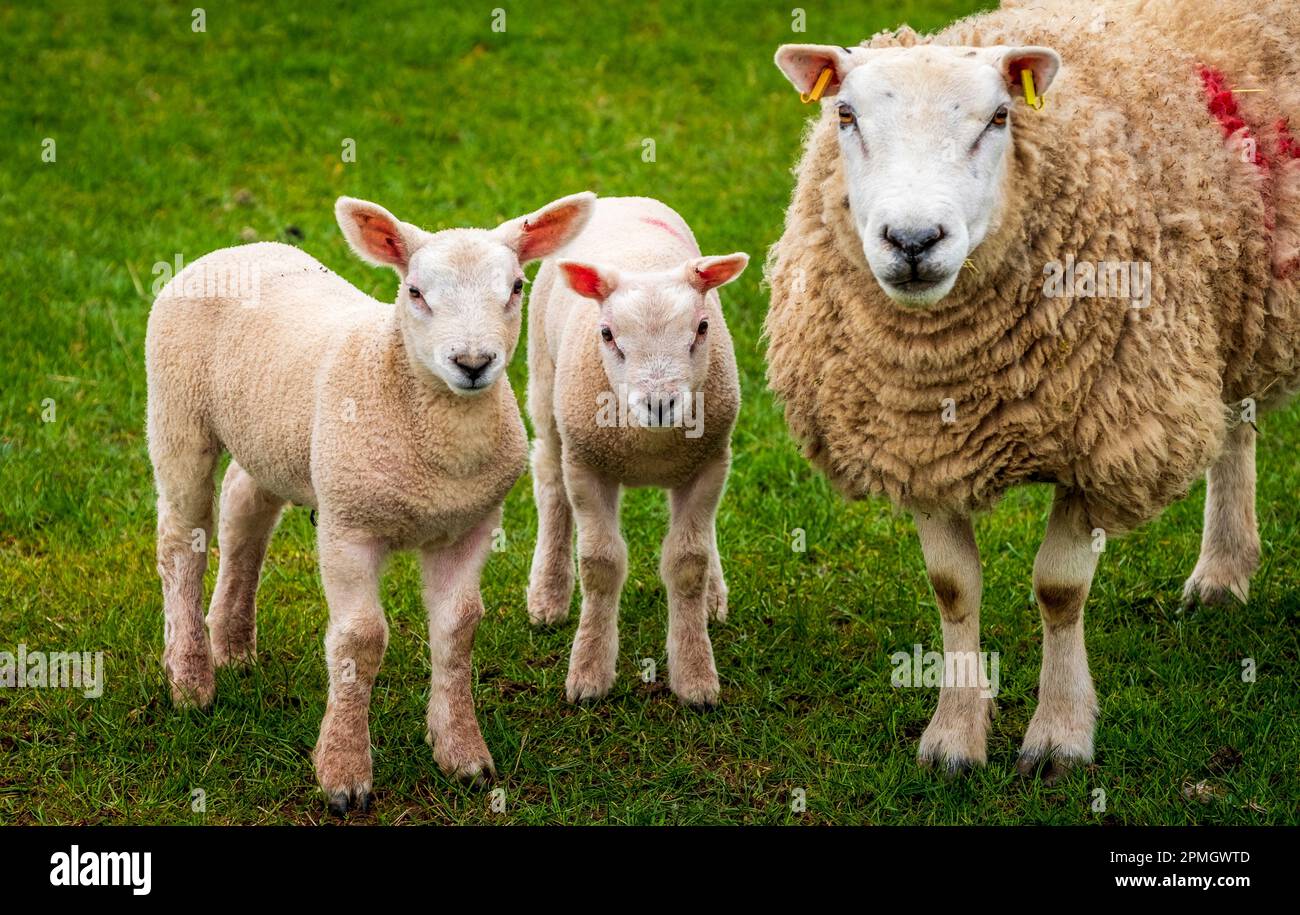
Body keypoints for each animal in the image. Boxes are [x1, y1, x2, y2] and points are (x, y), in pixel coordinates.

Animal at [145, 191, 595, 813]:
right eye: (415, 292)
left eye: (516, 287)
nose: (473, 363)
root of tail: (233, 251)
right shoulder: (347, 526)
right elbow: (360, 639)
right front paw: (343, 772)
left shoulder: (473, 525)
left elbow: (459, 627)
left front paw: (462, 753)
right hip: (178, 413)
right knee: (181, 542)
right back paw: (191, 679)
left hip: (273, 437)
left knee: (244, 509)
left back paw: (232, 643)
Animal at [524, 196, 749, 706]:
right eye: (607, 334)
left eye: (702, 327)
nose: (660, 404)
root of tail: (618, 198)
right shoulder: (587, 466)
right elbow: (601, 564)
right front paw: (588, 673)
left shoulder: (708, 463)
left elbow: (688, 561)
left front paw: (695, 676)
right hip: (545, 389)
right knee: (550, 484)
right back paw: (548, 595)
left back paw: (714, 597)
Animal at [766, 0, 1300, 778]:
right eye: (845, 115)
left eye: (998, 117)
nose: (914, 240)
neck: (957, 371)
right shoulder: (919, 439)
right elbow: (953, 586)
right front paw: (955, 736)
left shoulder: (1105, 441)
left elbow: (1059, 590)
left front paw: (1061, 736)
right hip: (1221, 300)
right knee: (1233, 419)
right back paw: (1224, 571)